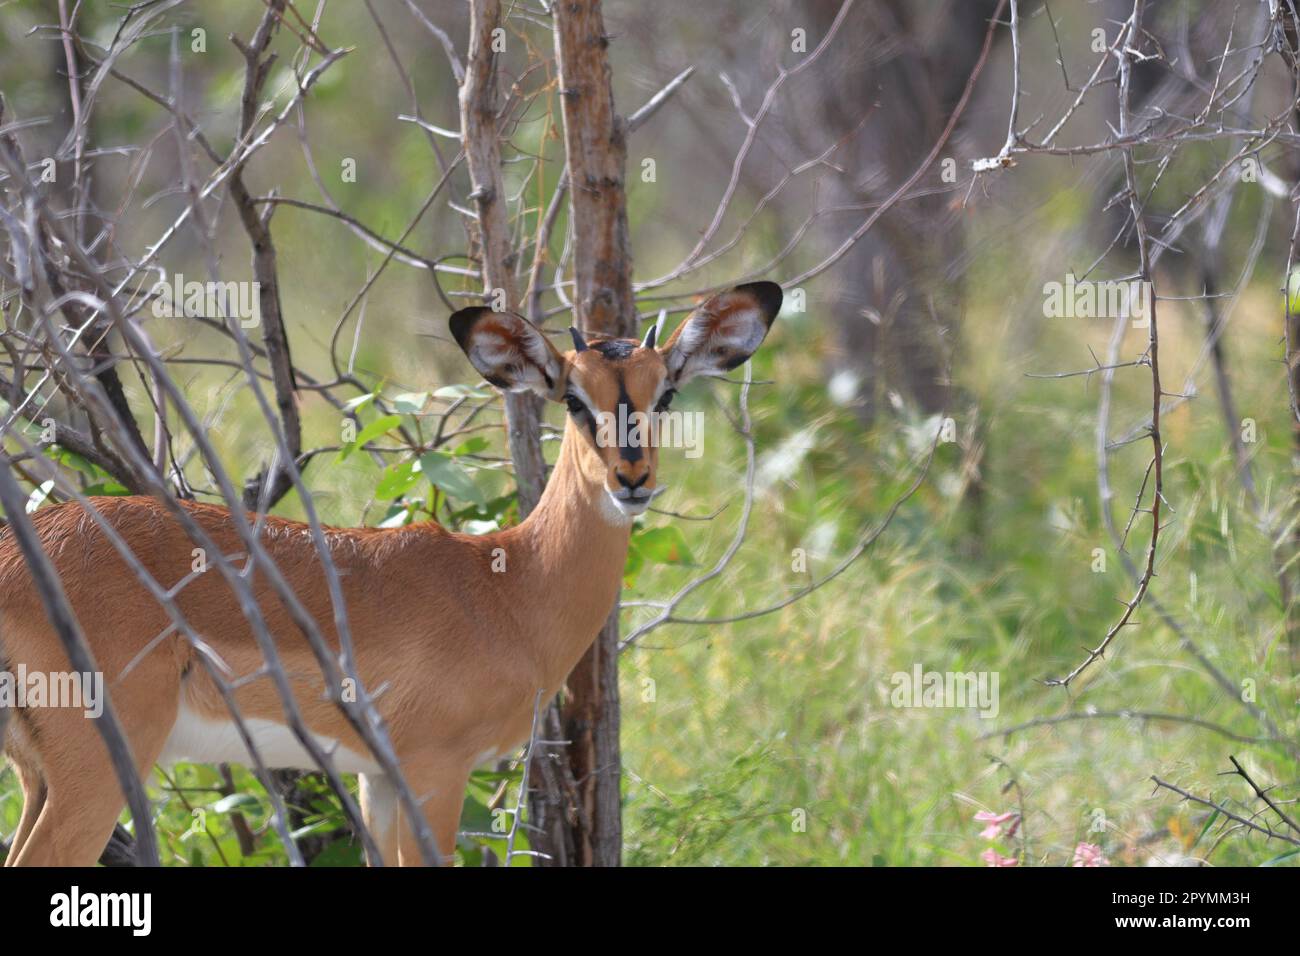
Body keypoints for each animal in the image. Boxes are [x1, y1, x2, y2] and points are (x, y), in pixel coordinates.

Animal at [0, 281, 781, 866]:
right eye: (573, 397)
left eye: (666, 394)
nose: (633, 479)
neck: (506, 588)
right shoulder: (433, 769)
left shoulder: (377, 779)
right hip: (99, 770)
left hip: (38, 777)